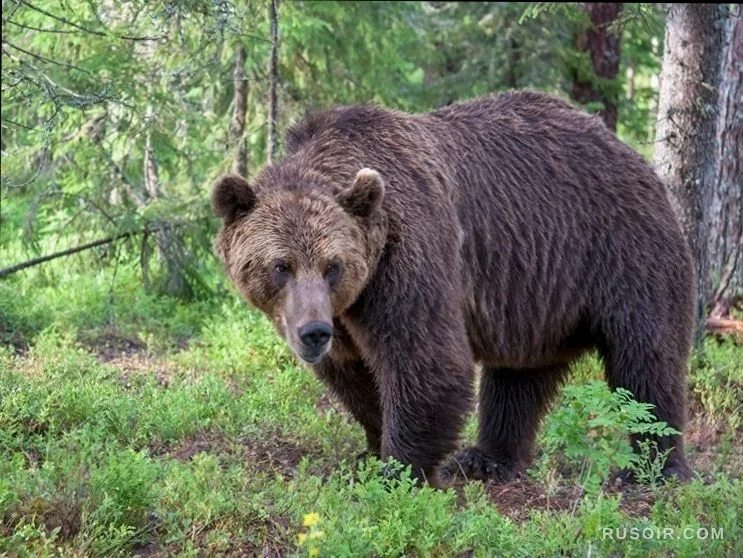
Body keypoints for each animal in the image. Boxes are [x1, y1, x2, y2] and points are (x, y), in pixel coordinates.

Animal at [212, 90, 694, 487]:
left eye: (333, 266)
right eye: (281, 266)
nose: (313, 333)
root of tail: (632, 153)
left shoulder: (409, 255)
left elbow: (426, 359)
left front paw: (398, 470)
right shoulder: (347, 312)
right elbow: (354, 374)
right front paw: (370, 450)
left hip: (623, 250)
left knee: (645, 359)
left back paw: (653, 468)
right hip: (535, 293)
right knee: (519, 376)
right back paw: (486, 459)